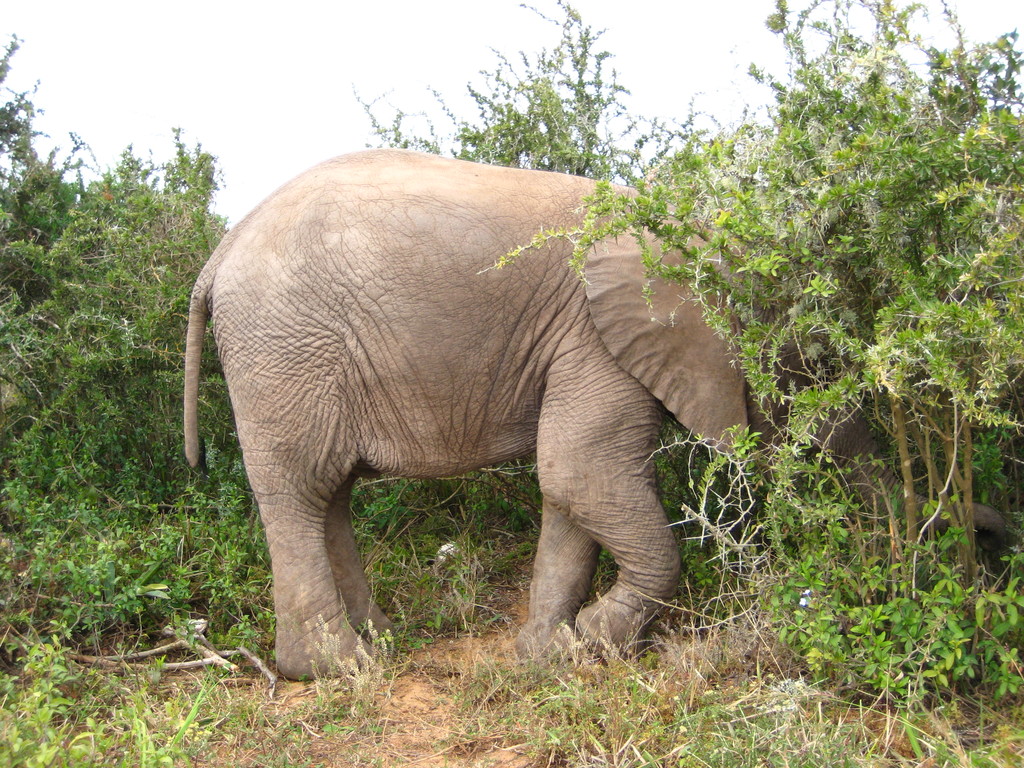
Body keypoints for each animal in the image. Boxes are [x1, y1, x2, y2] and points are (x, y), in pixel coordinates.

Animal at [184, 149, 1006, 679]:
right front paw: (595, 643)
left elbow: (570, 487)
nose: (989, 539)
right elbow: (582, 473)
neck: (692, 225)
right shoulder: (599, 341)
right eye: (807, 370)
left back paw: (380, 644)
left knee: (334, 493)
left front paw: (551, 656)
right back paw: (338, 668)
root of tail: (221, 250)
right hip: (284, 347)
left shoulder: (585, 346)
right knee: (301, 489)